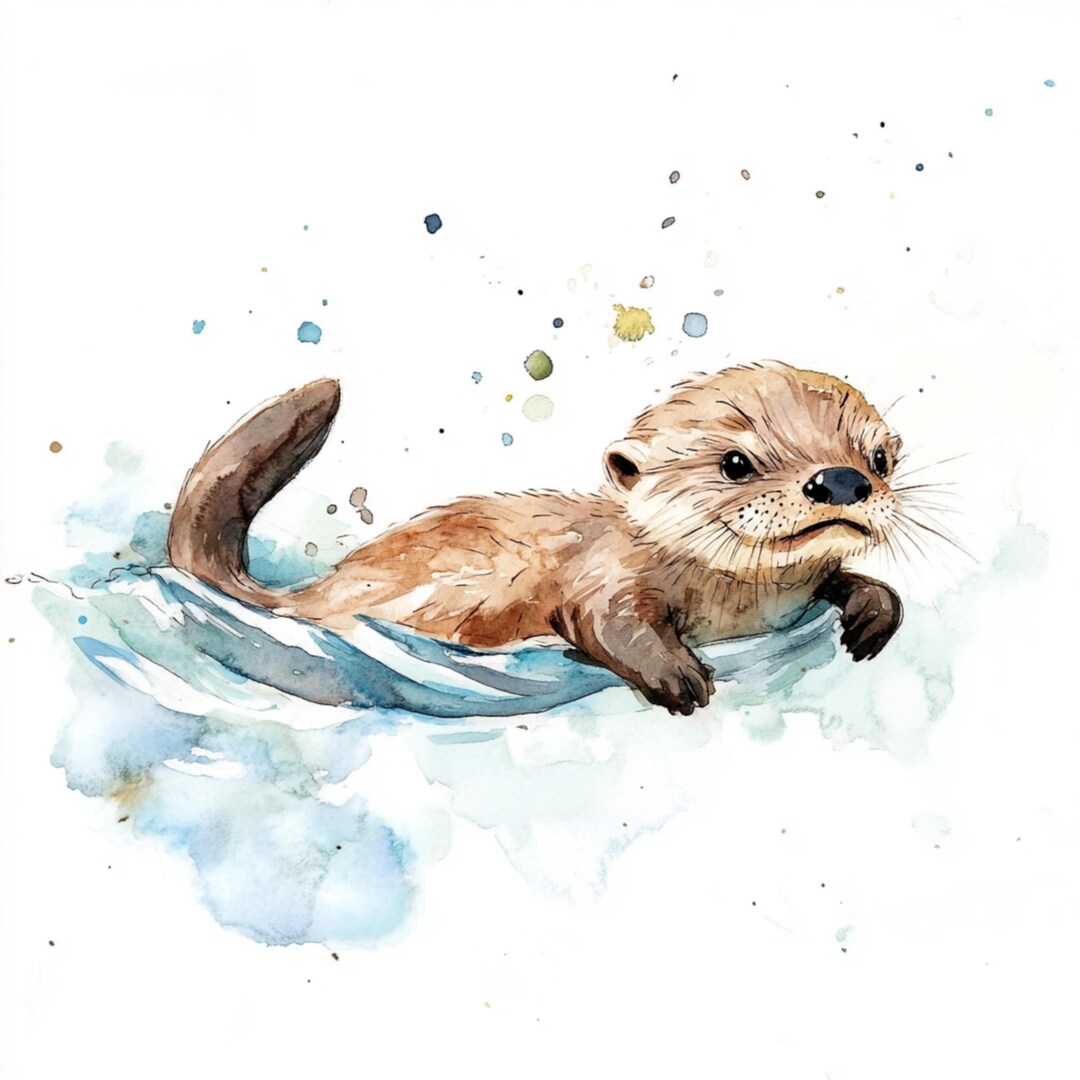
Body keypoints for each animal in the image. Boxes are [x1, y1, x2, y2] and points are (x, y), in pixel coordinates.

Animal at [166, 362, 904, 715]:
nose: (842, 481)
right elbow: (607, 622)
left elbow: (850, 581)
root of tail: (307, 596)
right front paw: (677, 675)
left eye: (878, 458)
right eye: (735, 463)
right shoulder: (605, 573)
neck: (743, 605)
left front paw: (872, 610)